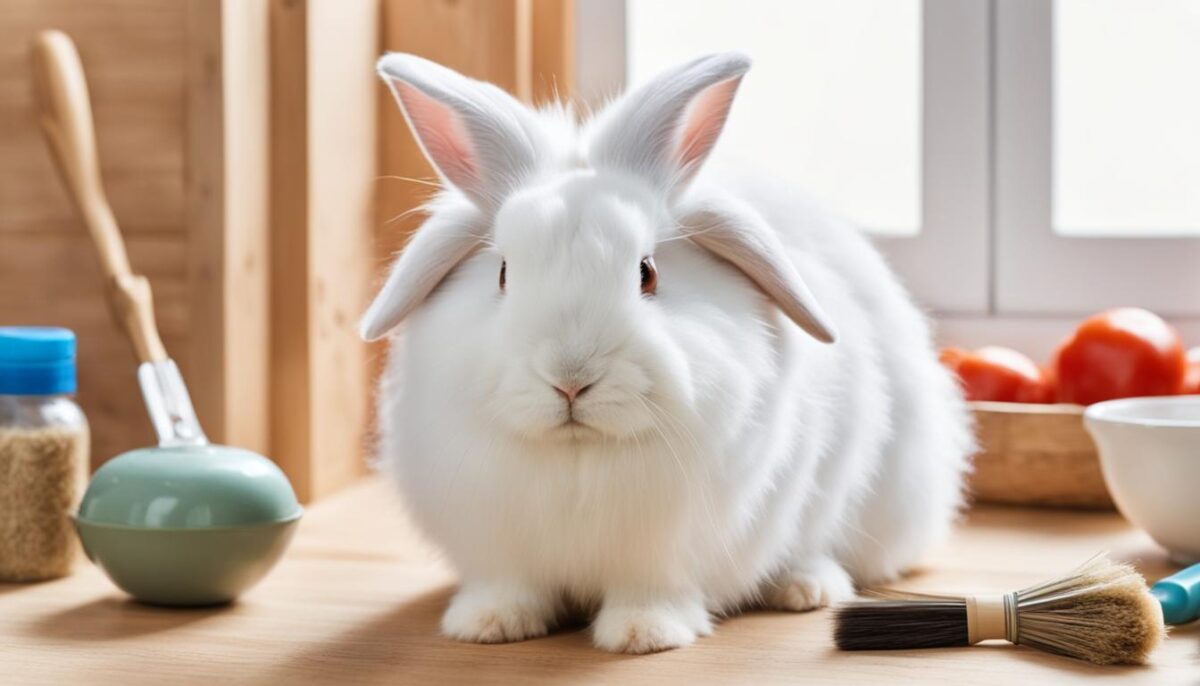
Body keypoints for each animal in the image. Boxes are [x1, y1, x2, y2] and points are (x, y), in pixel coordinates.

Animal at [361, 51, 973, 654]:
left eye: (647, 273)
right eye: (504, 273)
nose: (570, 379)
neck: (580, 457)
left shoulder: (667, 552)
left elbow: (651, 591)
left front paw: (644, 636)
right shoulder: (500, 548)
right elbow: (512, 585)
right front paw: (490, 624)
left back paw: (806, 588)